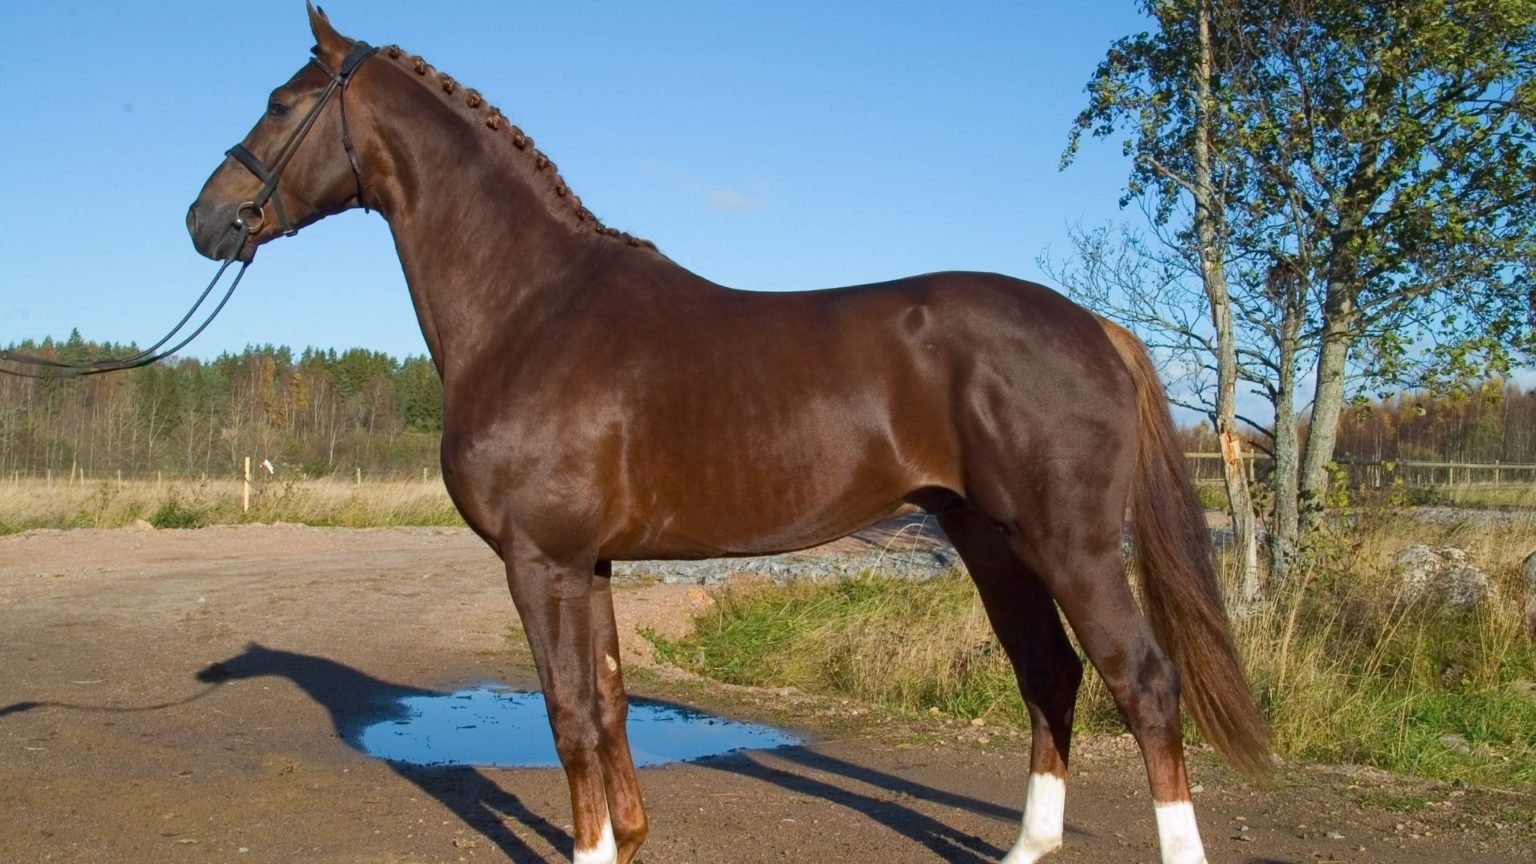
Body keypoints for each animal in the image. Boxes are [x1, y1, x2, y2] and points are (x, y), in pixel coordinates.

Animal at [186, 7, 1268, 863]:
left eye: (280, 103)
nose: (206, 219)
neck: (530, 307)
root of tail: (1096, 327)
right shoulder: (592, 564)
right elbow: (611, 704)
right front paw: (628, 841)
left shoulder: (539, 561)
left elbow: (569, 715)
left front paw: (591, 849)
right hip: (989, 540)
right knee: (1050, 675)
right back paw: (1024, 847)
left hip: (1069, 544)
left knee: (1143, 684)